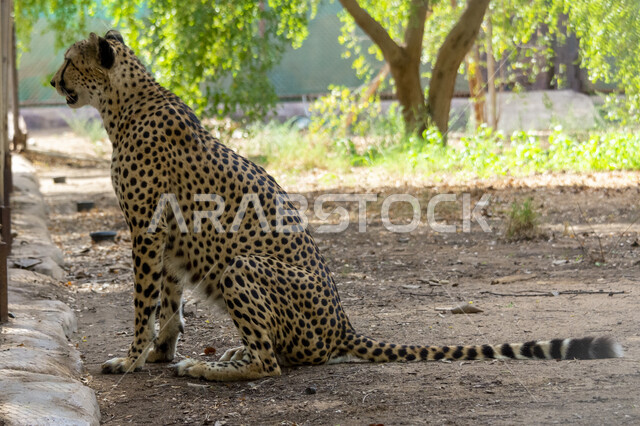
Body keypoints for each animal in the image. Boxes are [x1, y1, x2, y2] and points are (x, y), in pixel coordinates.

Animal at [50, 31, 623, 382]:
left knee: (271, 365)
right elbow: (168, 302)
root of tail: (342, 324)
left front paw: (132, 359)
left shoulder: (147, 228)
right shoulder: (166, 232)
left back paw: (210, 368)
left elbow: (144, 301)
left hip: (240, 264)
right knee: (273, 352)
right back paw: (226, 353)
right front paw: (158, 352)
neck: (125, 102)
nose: (52, 82)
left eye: (69, 61)